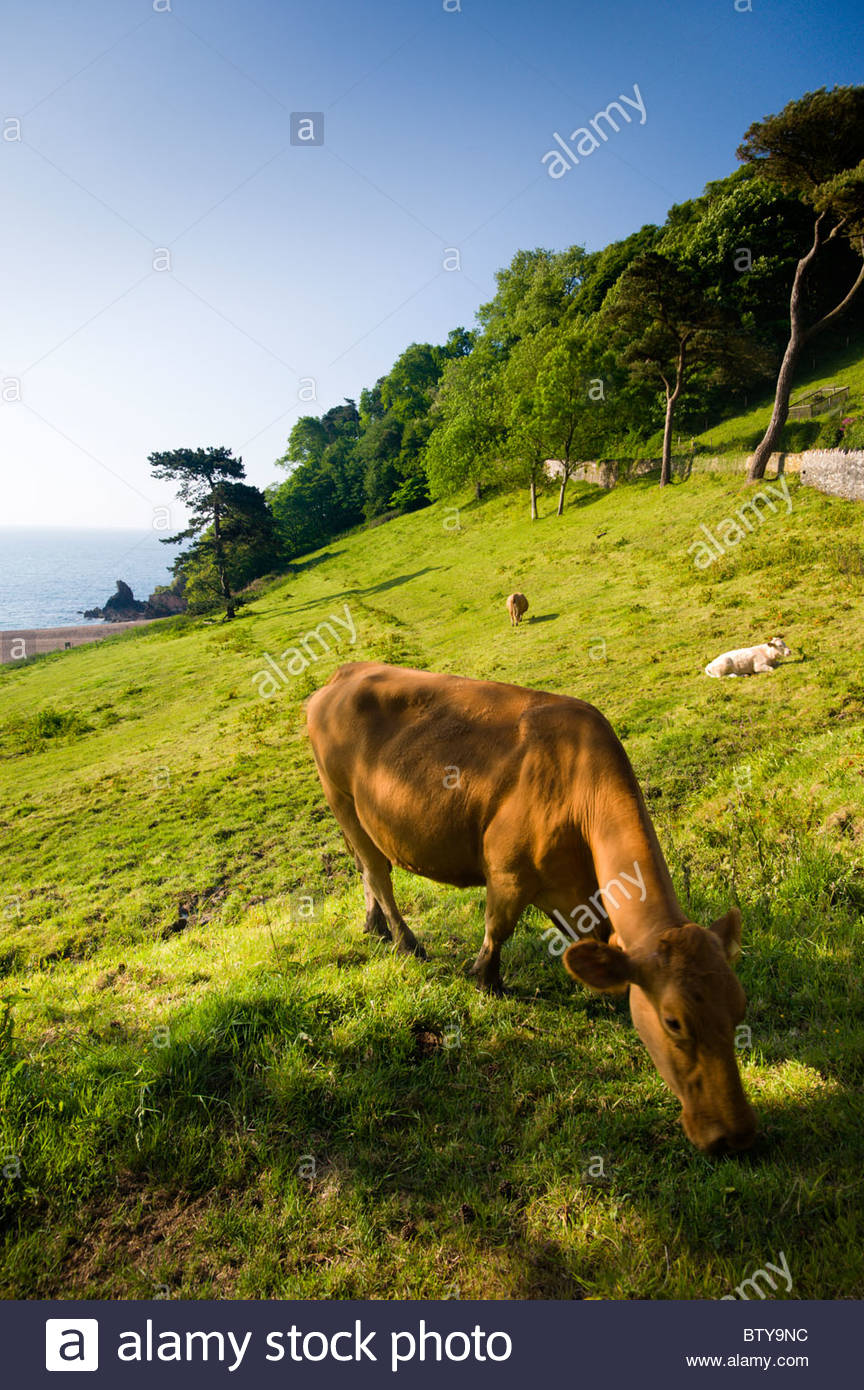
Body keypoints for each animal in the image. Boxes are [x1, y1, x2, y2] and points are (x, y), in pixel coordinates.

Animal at [306, 662, 757, 1154]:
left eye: (738, 1010)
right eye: (674, 1022)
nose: (735, 1135)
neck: (580, 792)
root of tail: (347, 671)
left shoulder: (573, 891)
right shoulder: (508, 871)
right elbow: (497, 929)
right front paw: (486, 981)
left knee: (363, 868)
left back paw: (375, 926)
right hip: (342, 800)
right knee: (377, 872)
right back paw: (405, 942)